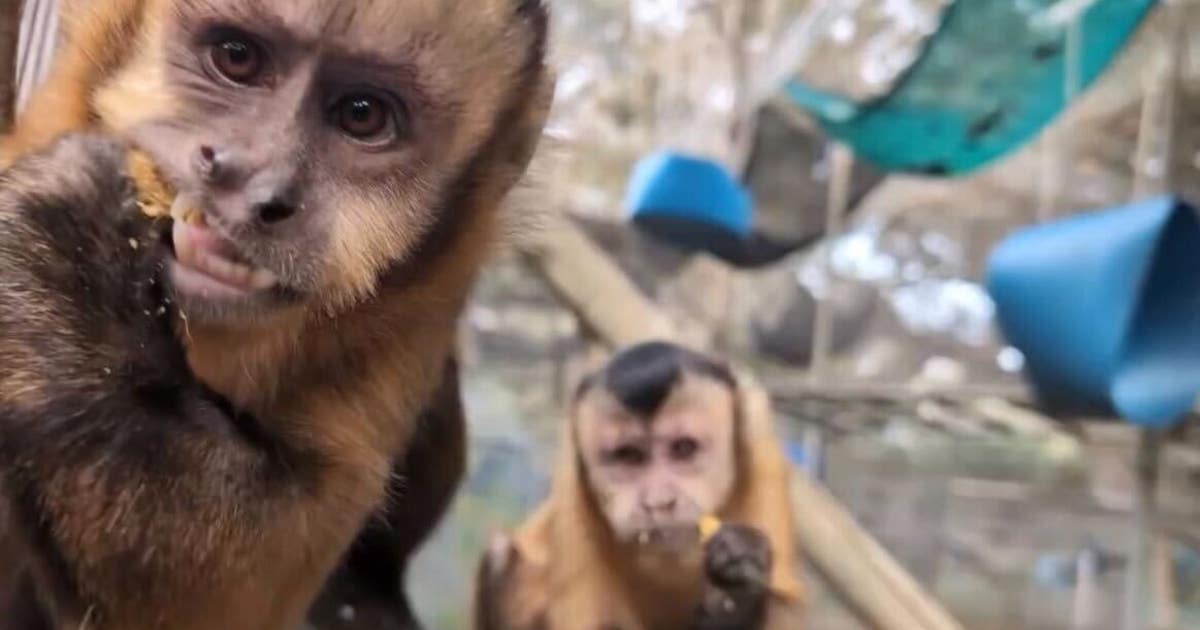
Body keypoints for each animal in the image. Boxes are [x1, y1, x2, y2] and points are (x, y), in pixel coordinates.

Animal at [0, 0, 553, 627]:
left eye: (363, 115)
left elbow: (238, 595)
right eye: (237, 58)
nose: (250, 179)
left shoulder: (413, 332)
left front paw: (67, 261)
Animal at [474, 341, 806, 630]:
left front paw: (735, 591)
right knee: (500, 554)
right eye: (628, 456)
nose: (659, 502)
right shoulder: (569, 477)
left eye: (684, 448)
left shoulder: (761, 447)